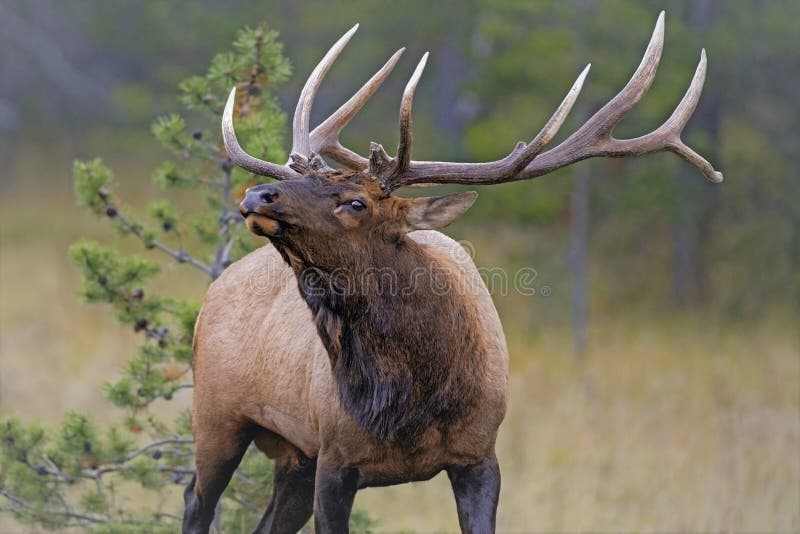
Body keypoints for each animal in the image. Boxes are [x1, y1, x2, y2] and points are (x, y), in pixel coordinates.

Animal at [183, 12, 722, 534]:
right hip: (217, 416)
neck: (414, 400)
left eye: (356, 202)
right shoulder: (335, 458)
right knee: (195, 500)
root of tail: (215, 288)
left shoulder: (479, 455)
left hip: (292, 456)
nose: (258, 195)